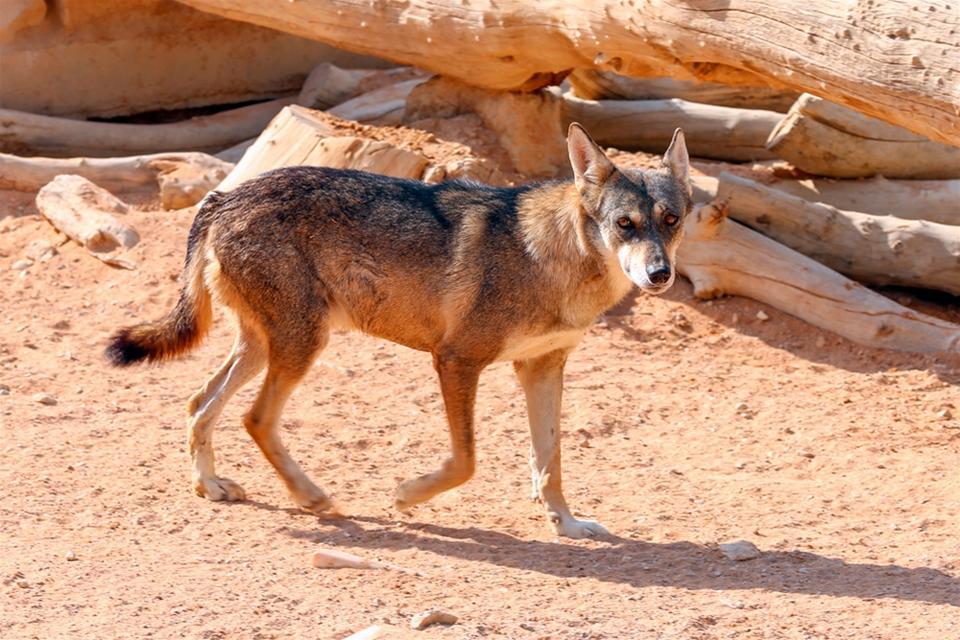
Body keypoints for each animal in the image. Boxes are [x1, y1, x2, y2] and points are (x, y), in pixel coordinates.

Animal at [105, 123, 692, 539]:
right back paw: (311, 498)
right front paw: (407, 495)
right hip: (301, 346)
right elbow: (465, 461)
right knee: (254, 418)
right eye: (624, 225)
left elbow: (550, 462)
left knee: (198, 402)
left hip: (263, 347)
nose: (659, 275)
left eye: (671, 220)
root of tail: (223, 197)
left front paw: (567, 524)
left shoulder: (542, 368)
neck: (549, 259)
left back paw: (209, 485)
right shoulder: (456, 360)